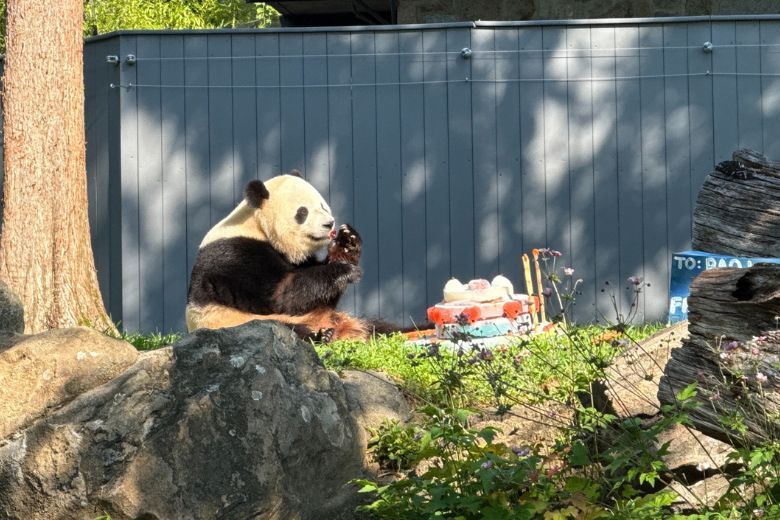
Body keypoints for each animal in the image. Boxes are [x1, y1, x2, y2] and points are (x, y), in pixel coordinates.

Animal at [186, 172, 397, 342]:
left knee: (380, 327)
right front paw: (344, 271)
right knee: (286, 329)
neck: (256, 226)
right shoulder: (234, 256)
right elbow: (280, 297)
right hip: (239, 323)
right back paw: (321, 335)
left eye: (323, 205)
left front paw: (347, 242)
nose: (329, 224)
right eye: (303, 212)